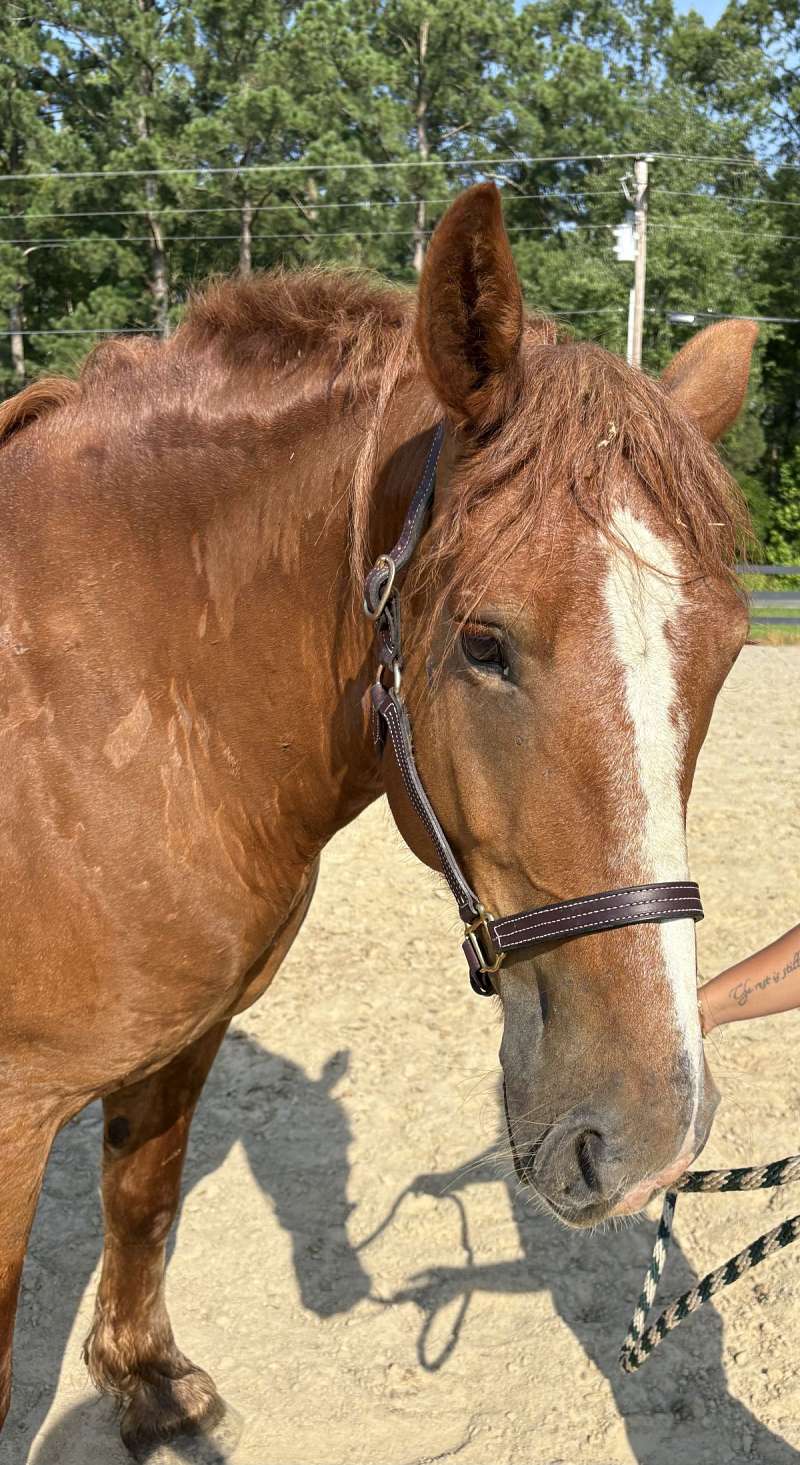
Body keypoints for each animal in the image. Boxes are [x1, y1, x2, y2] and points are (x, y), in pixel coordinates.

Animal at [0, 181, 756, 1453]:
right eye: (484, 642)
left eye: (727, 650)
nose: (647, 1139)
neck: (118, 696)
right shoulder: (13, 1112)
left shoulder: (184, 1037)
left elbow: (143, 1201)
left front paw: (146, 1384)